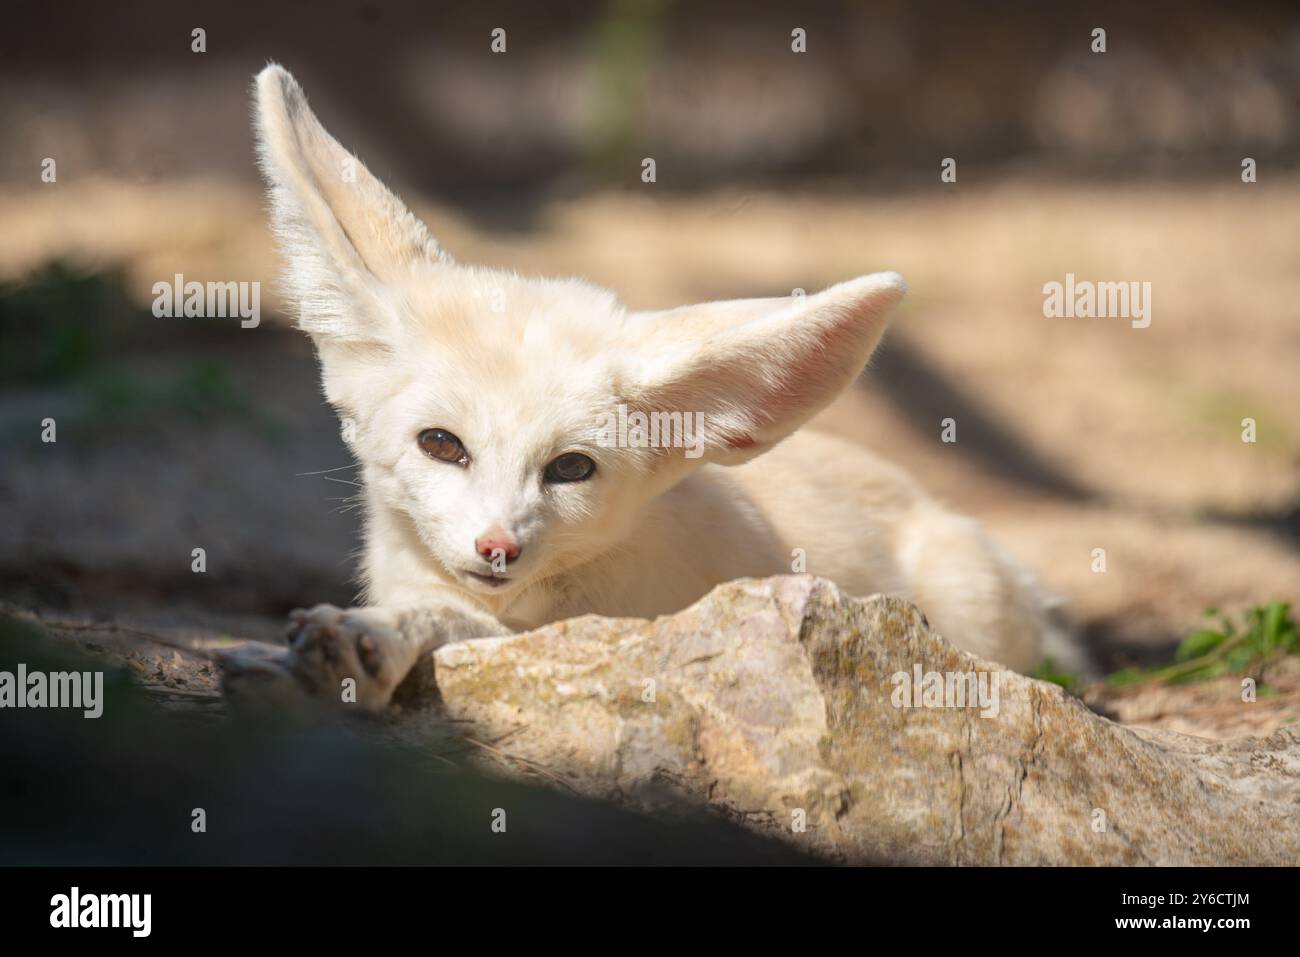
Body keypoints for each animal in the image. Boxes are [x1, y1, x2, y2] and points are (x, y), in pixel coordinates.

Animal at [244, 64, 1081, 709]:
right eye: (442, 445)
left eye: (570, 468)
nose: (498, 547)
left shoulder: (617, 623)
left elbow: (463, 631)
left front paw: (370, 640)